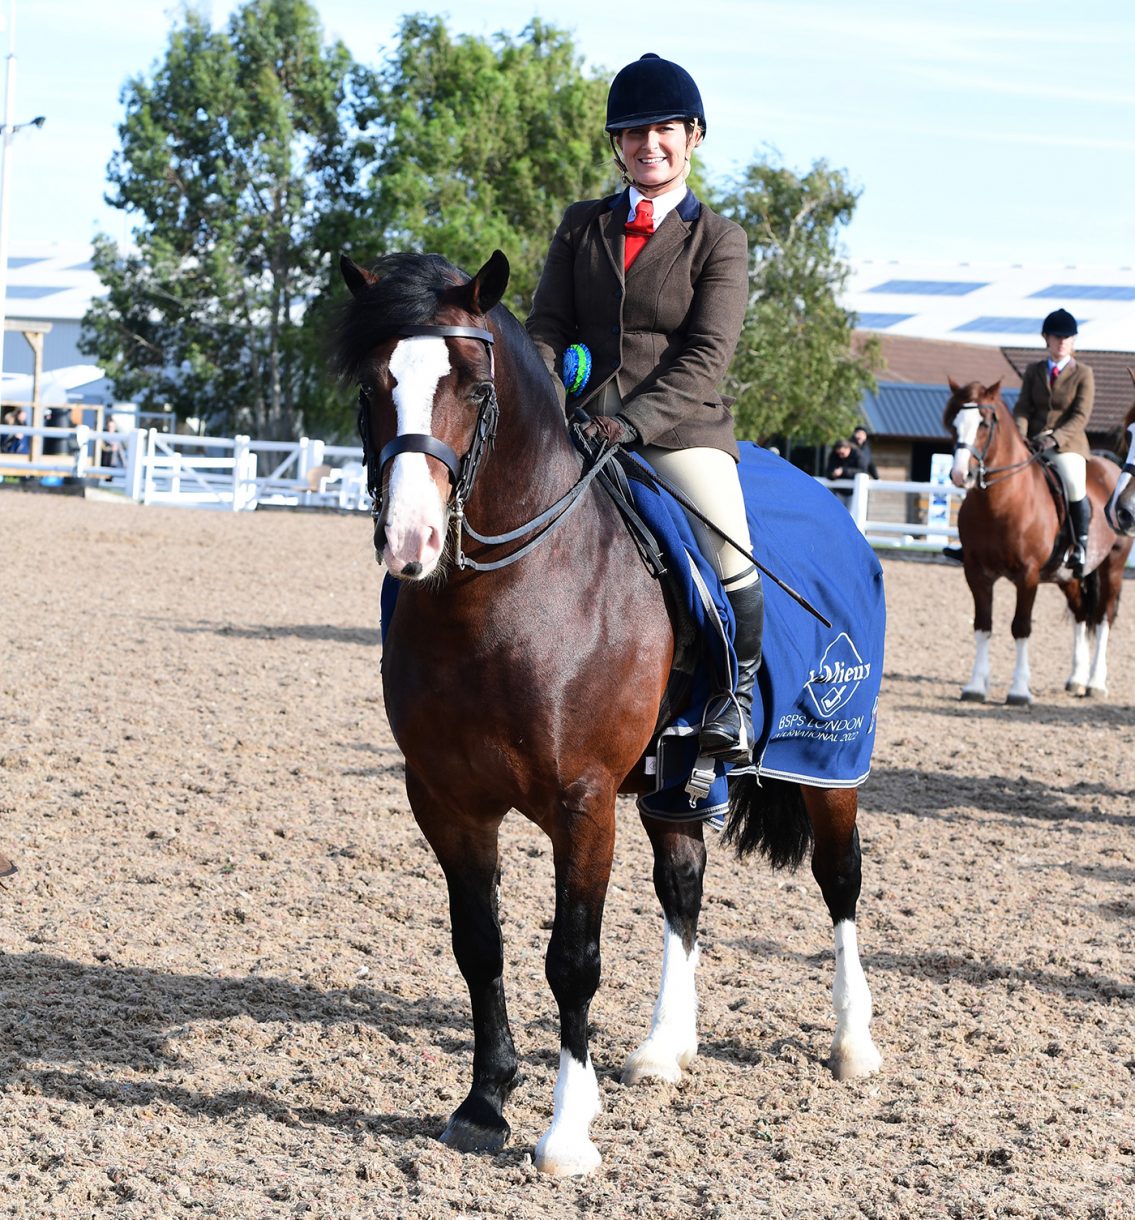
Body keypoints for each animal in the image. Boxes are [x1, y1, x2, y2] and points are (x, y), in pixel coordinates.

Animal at [332, 249, 881, 1176]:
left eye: (474, 387)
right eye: (373, 388)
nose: (410, 543)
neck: (500, 601)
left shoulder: (582, 803)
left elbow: (572, 959)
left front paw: (566, 1133)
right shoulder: (445, 801)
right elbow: (478, 945)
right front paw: (483, 1104)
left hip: (828, 763)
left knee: (838, 881)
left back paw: (852, 1046)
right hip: (675, 781)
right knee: (683, 885)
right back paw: (664, 1049)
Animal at [944, 378, 1132, 704]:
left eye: (984, 423)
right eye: (955, 423)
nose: (960, 474)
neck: (1000, 503)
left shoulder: (1027, 576)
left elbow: (1021, 627)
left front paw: (1019, 690)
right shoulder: (976, 574)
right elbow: (983, 625)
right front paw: (975, 686)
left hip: (1113, 567)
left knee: (1103, 617)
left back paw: (1095, 683)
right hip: (1067, 576)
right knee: (1081, 613)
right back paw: (1076, 679)